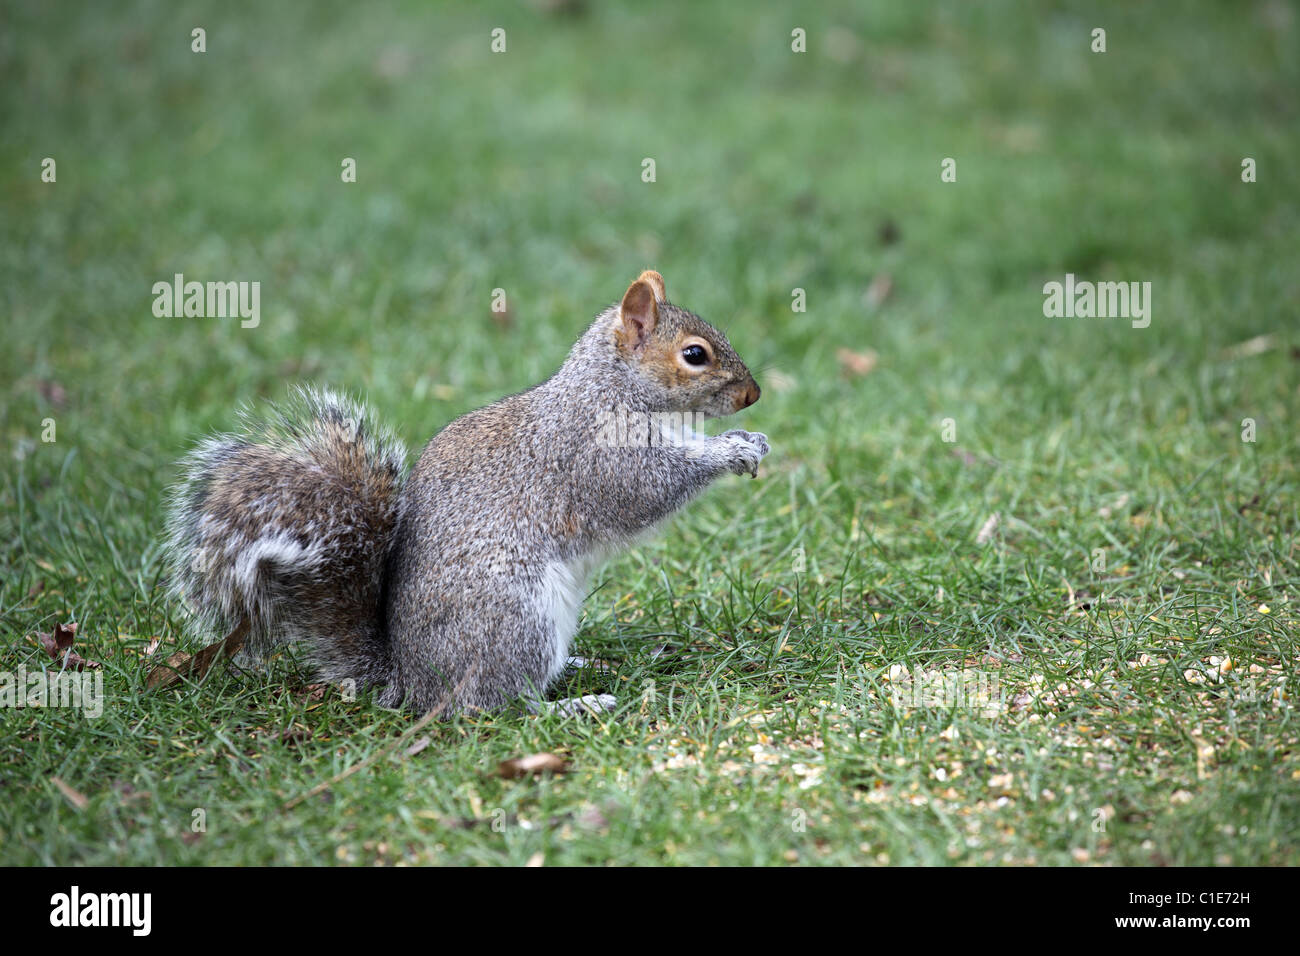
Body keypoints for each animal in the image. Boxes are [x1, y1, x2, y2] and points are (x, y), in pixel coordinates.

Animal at [163, 270, 770, 716]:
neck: (611, 387)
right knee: (495, 704)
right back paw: (574, 705)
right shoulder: (595, 455)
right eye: (695, 355)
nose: (754, 395)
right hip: (515, 615)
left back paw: (576, 668)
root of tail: (410, 682)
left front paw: (747, 439)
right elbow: (647, 489)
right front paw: (730, 450)